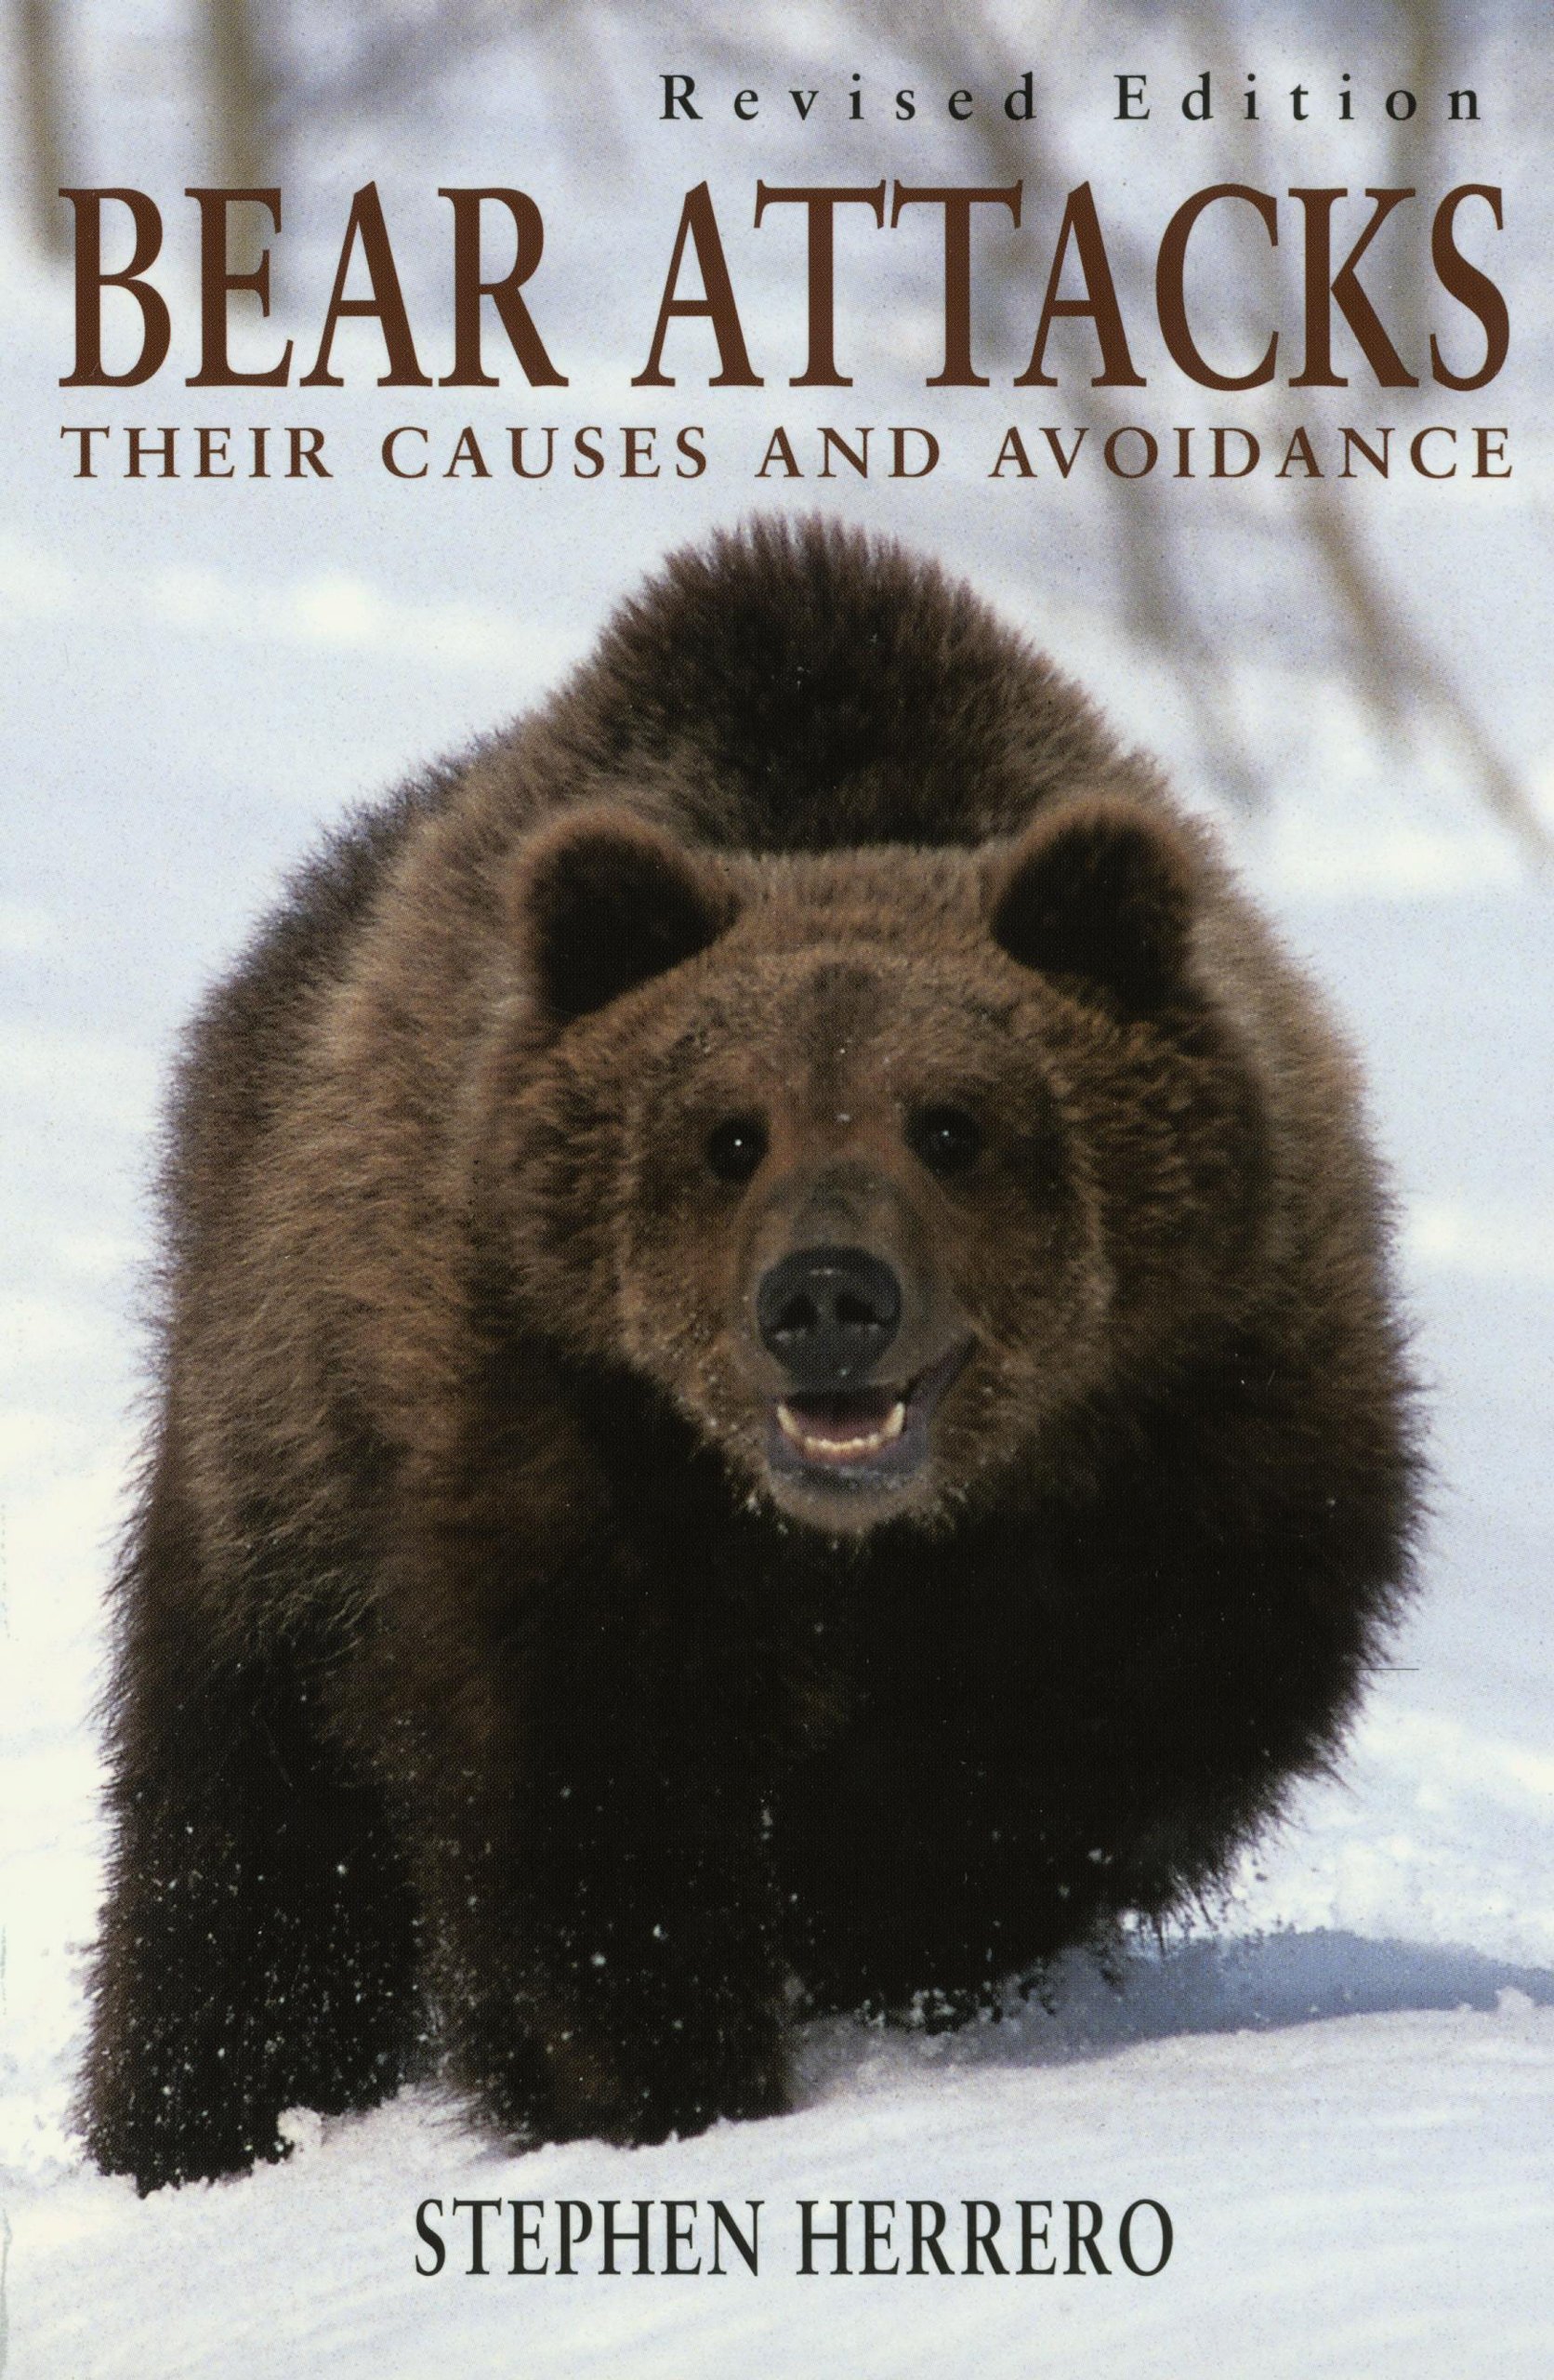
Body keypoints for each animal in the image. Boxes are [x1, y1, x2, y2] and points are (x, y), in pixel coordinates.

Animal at [81, 516, 1419, 2193]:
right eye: (730, 1135)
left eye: (951, 1124)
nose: (826, 1296)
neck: (872, 1549)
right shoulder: (549, 1441)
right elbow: (587, 1813)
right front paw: (659, 2086)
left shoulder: (1217, 1424)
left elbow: (1128, 1740)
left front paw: (888, 1924)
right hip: (279, 1447)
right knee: (239, 1844)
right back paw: (202, 2126)